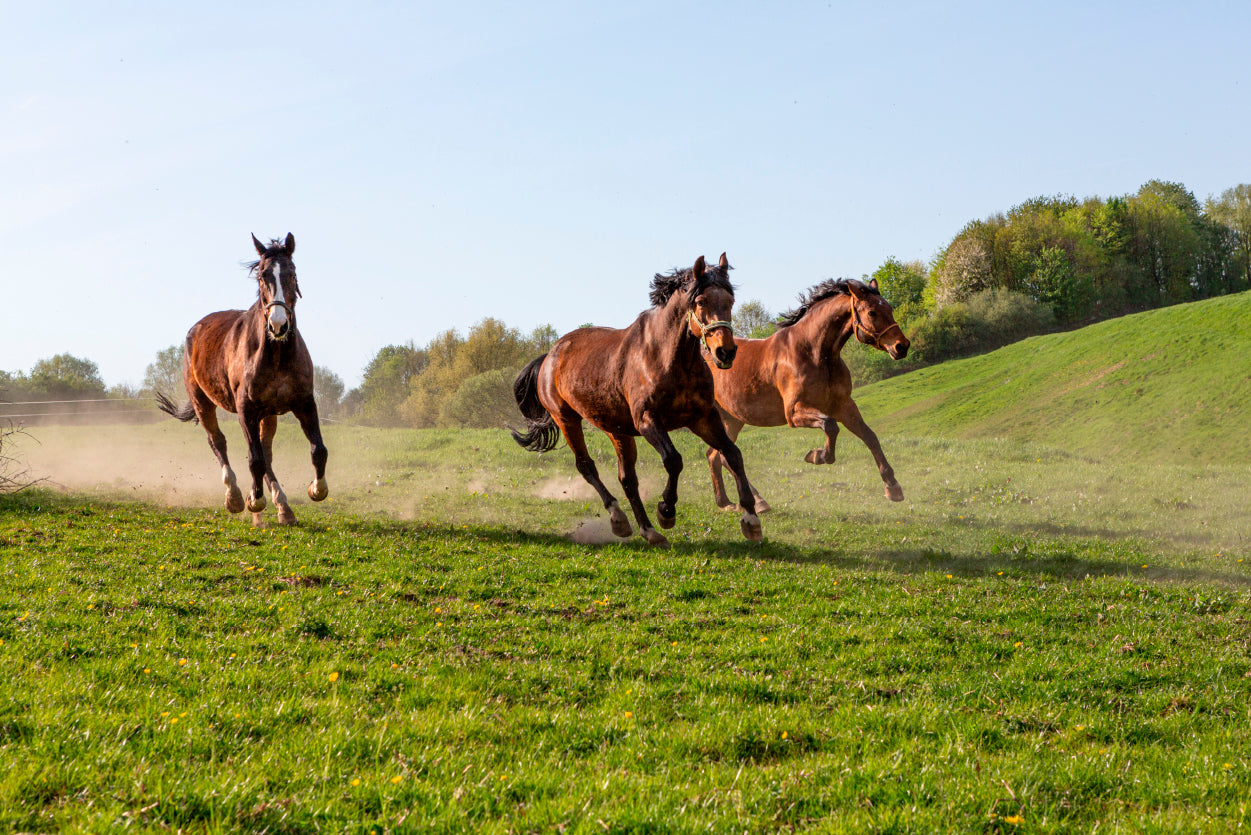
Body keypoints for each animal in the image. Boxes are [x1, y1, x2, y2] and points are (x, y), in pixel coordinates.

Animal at [155, 233, 328, 526]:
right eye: (262, 275)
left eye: (292, 274)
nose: (278, 325)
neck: (276, 354)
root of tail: (195, 330)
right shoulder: (246, 409)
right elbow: (254, 460)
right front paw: (254, 501)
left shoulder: (304, 404)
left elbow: (318, 450)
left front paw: (317, 489)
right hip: (203, 403)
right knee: (218, 443)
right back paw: (235, 497)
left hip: (268, 415)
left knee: (266, 452)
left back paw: (283, 507)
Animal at [510, 253, 762, 547]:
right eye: (700, 301)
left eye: (730, 301)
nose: (726, 352)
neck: (668, 359)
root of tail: (550, 355)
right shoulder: (648, 421)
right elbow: (674, 460)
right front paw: (666, 511)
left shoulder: (703, 418)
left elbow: (733, 454)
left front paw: (751, 519)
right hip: (567, 420)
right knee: (587, 466)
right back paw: (619, 517)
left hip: (617, 431)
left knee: (627, 479)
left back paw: (647, 530)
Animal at [704, 277, 910, 511]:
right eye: (872, 312)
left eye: (890, 309)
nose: (902, 346)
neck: (814, 353)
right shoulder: (794, 413)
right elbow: (830, 426)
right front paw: (817, 456)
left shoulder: (844, 406)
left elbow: (870, 437)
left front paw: (893, 487)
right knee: (724, 457)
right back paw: (753, 502)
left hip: (732, 420)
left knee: (716, 456)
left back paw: (730, 502)